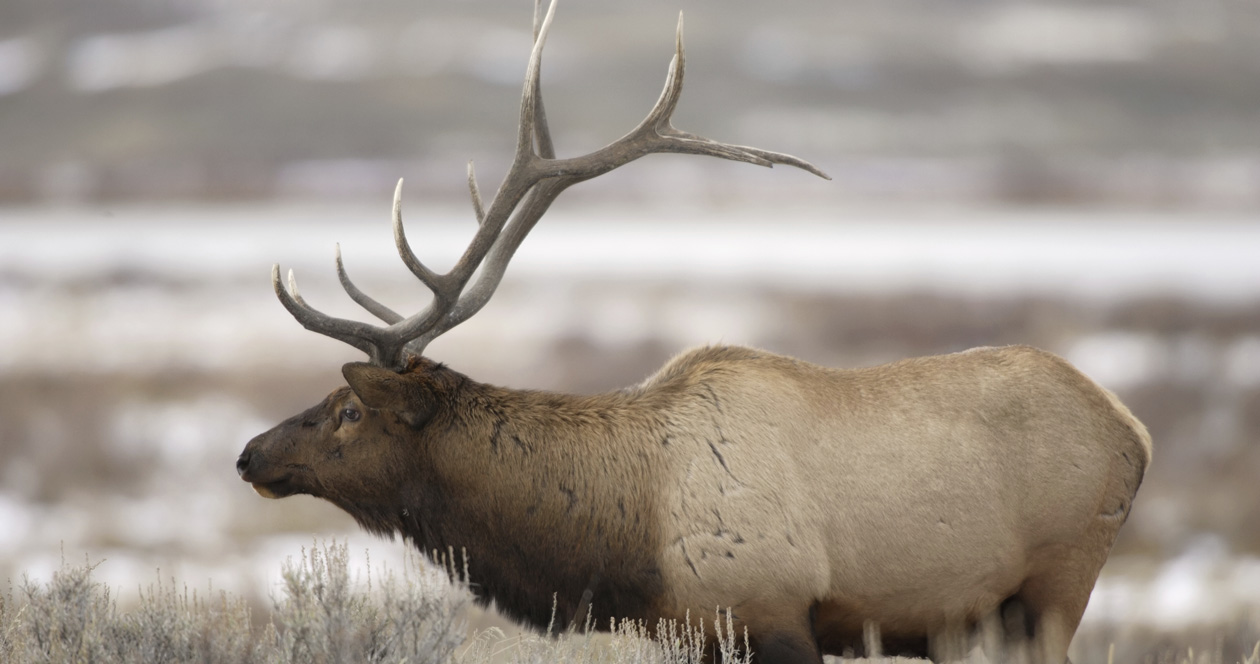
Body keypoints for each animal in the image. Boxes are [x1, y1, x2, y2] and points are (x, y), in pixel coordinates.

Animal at [235, 2, 1151, 662]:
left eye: (348, 411)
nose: (249, 454)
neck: (624, 543)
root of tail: (1133, 430)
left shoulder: (773, 612)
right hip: (973, 622)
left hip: (1056, 584)